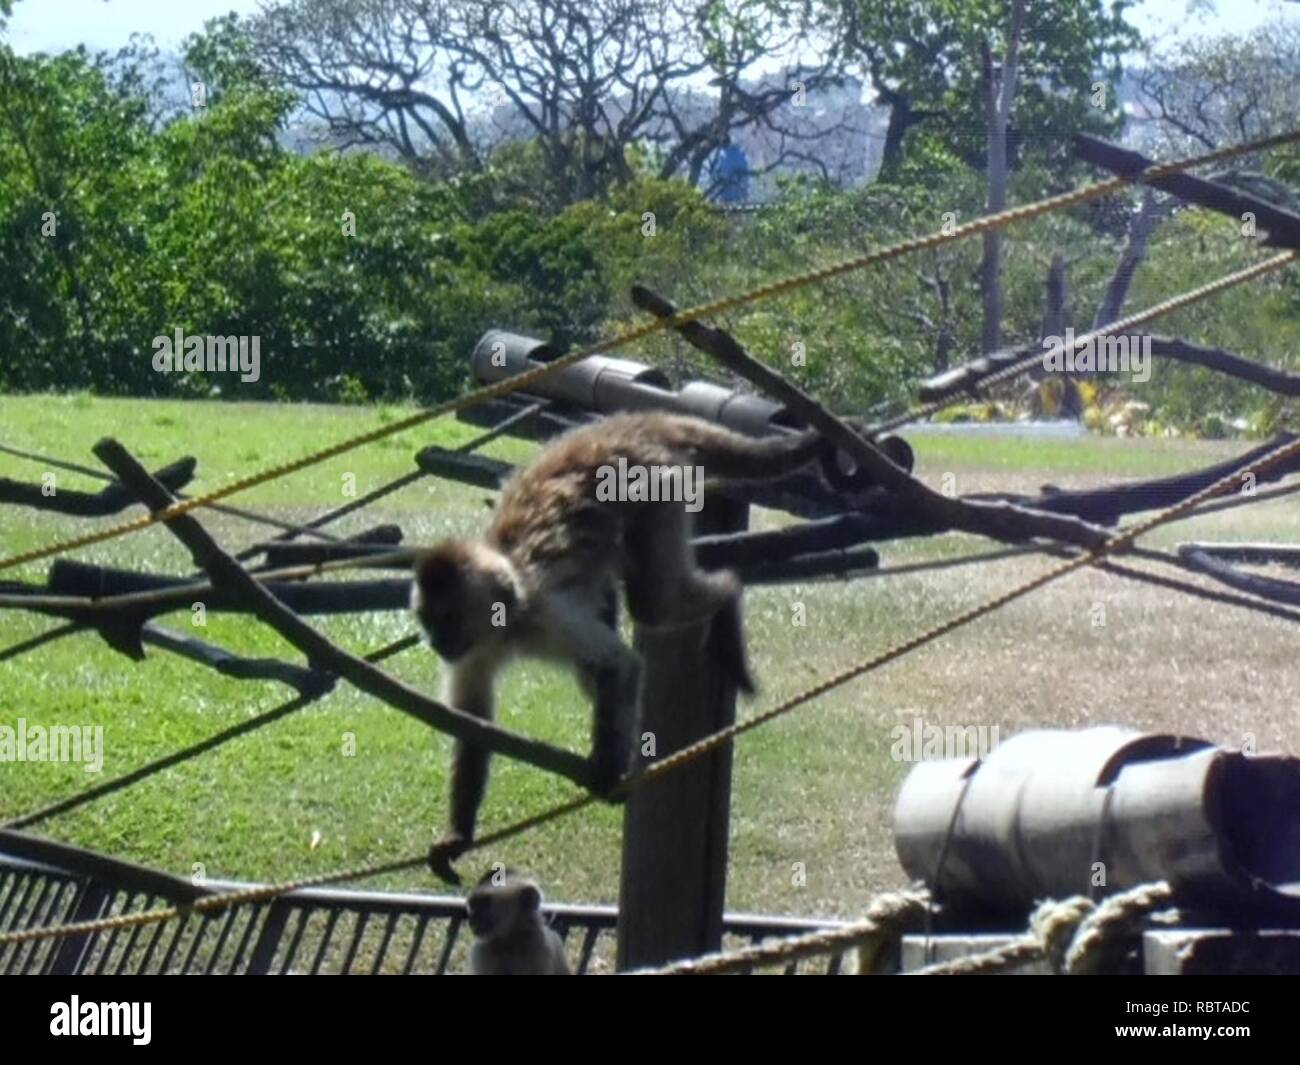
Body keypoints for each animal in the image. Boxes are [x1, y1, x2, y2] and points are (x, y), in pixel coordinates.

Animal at [412, 411, 832, 870]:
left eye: (448, 619)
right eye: (428, 621)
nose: (435, 642)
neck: (510, 621)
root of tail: (622, 428)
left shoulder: (546, 613)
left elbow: (622, 665)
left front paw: (607, 773)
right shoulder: (475, 649)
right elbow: (472, 722)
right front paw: (458, 835)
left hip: (655, 485)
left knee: (653, 604)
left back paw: (728, 594)